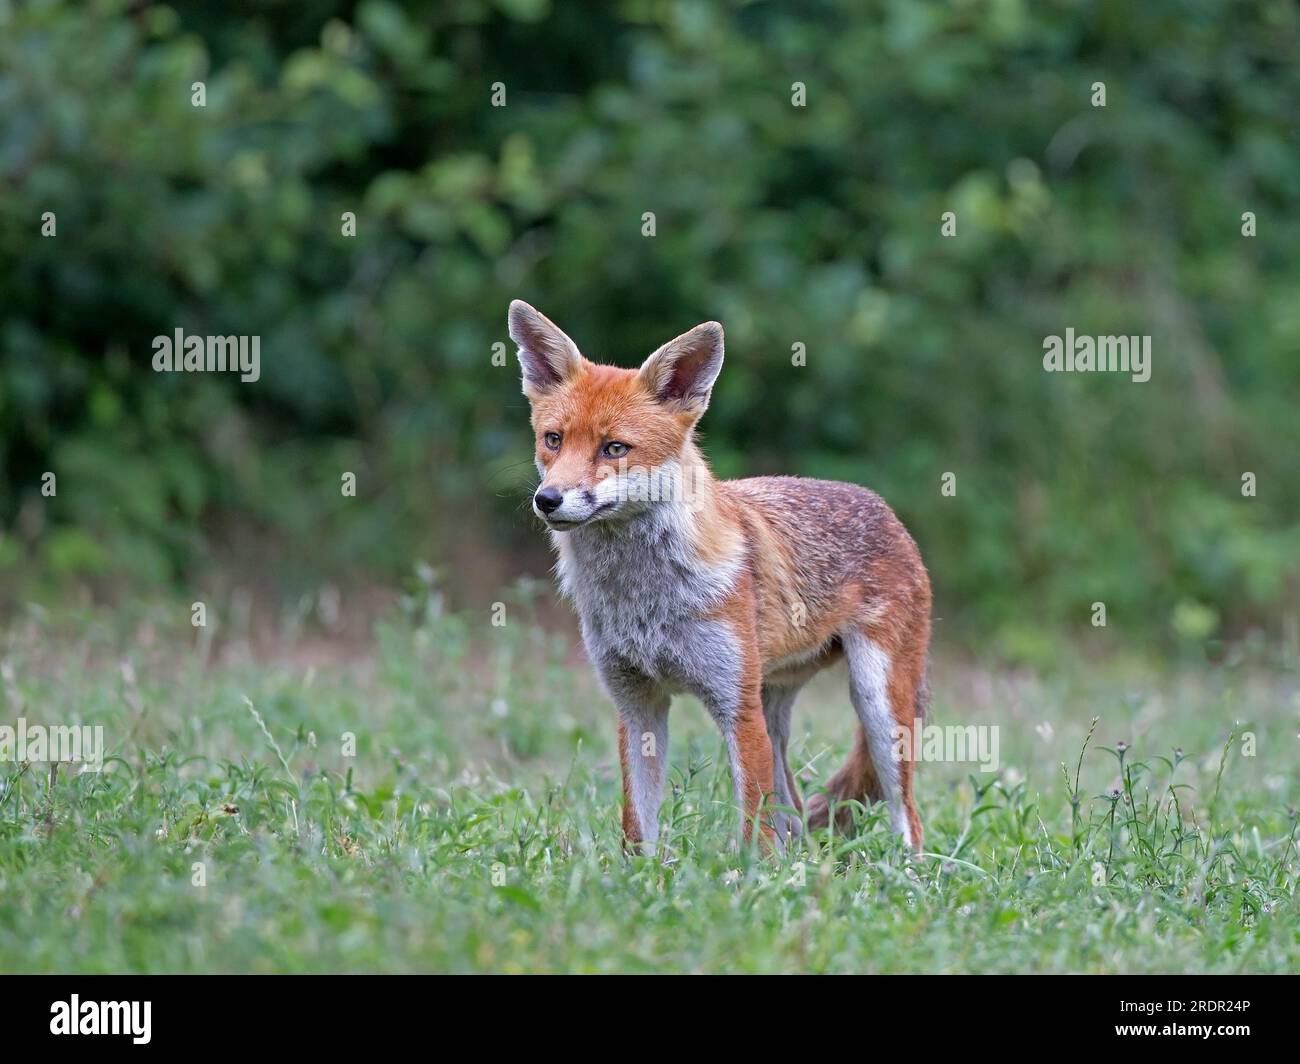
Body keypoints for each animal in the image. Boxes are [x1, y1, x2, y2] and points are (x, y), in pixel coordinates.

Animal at [510, 300, 932, 854]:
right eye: (553, 440)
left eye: (614, 449)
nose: (548, 499)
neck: (644, 598)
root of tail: (885, 509)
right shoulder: (636, 705)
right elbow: (637, 825)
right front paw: (639, 873)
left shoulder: (737, 707)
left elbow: (753, 832)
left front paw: (748, 876)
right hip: (774, 706)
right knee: (795, 811)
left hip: (877, 706)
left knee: (907, 815)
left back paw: (909, 870)